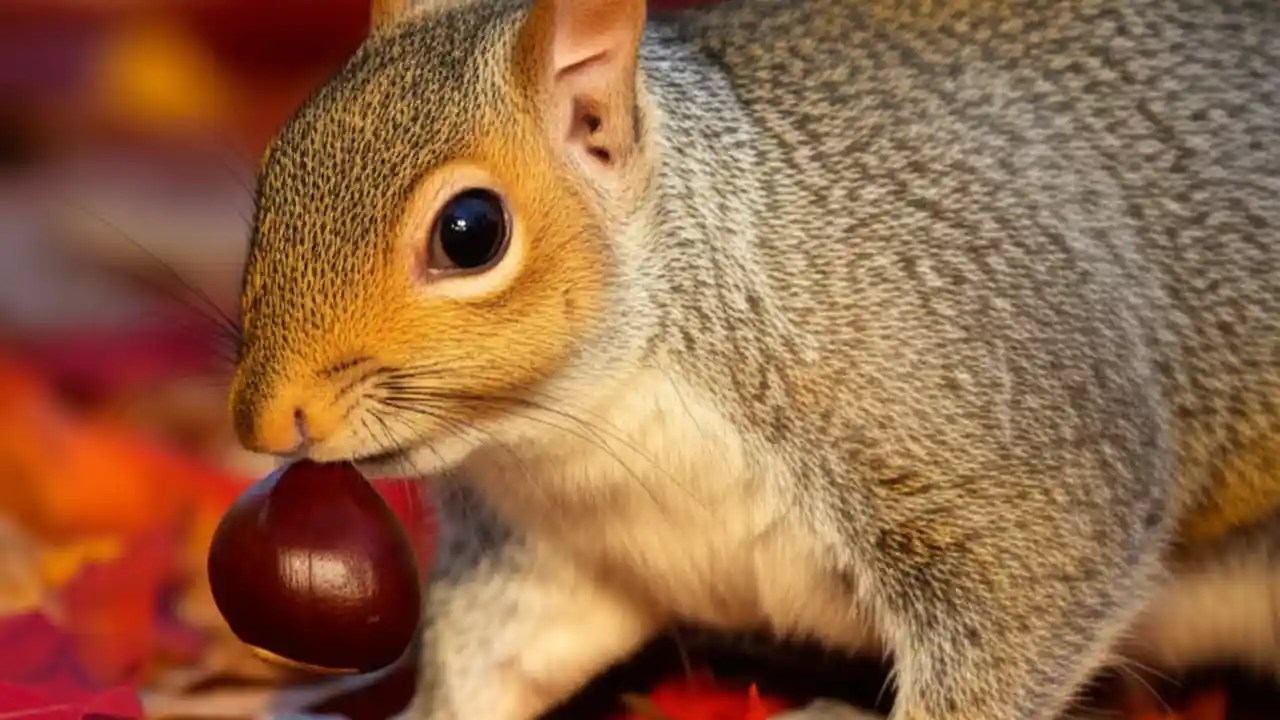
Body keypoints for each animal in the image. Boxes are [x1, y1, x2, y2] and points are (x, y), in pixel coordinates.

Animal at [228, 0, 1279, 718]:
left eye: (471, 231)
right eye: (273, 169)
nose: (263, 418)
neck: (600, 412)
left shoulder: (977, 411)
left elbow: (1040, 578)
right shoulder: (565, 555)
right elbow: (503, 653)